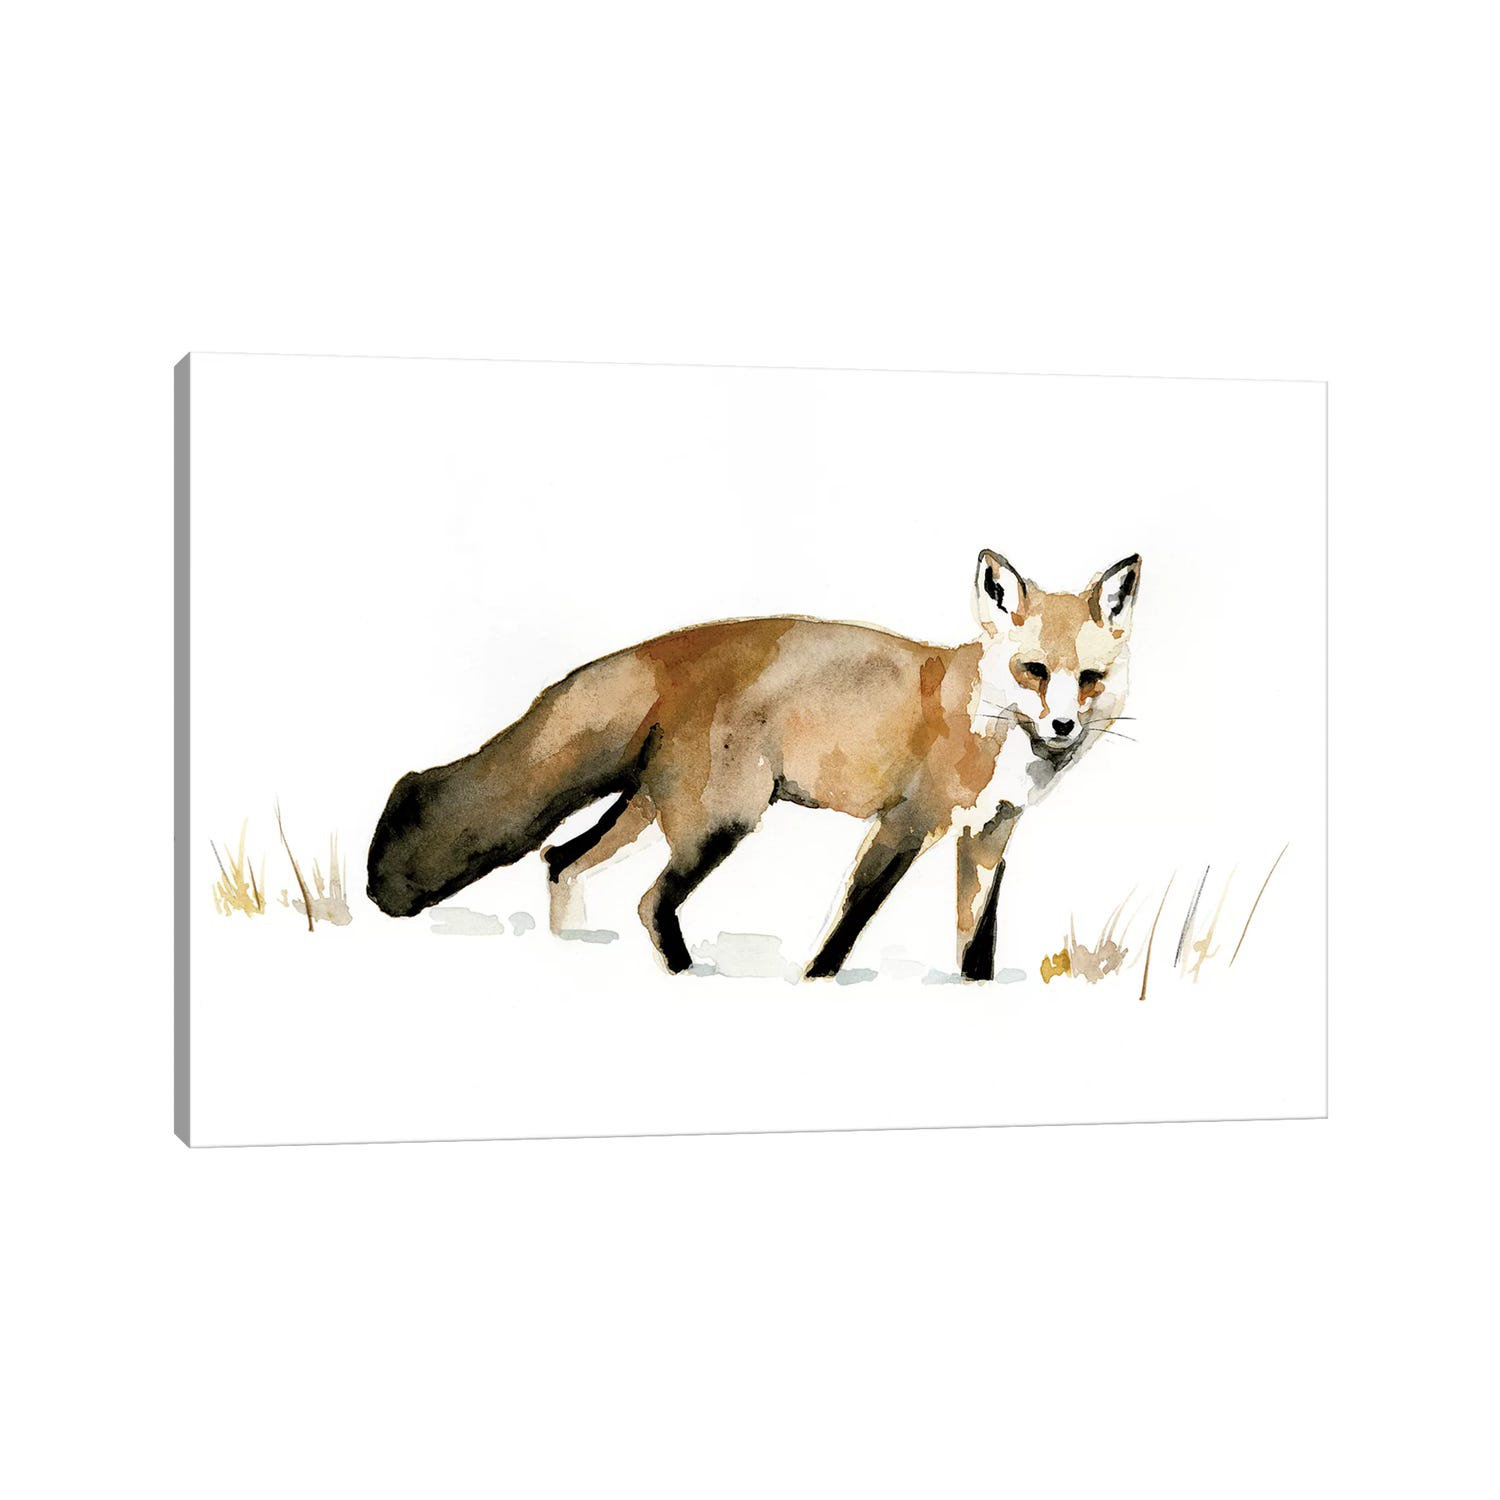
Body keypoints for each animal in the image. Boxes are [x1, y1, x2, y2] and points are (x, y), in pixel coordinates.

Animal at [367, 549, 1141, 980]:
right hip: (720, 822)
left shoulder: (988, 837)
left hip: (649, 813)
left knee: (561, 859)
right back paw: (686, 978)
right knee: (648, 901)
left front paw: (973, 994)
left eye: (1090, 678)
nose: (1063, 727)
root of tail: (671, 649)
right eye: (1033, 670)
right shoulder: (904, 824)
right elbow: (847, 925)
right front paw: (815, 985)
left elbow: (976, 942)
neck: (985, 718)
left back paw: (573, 951)